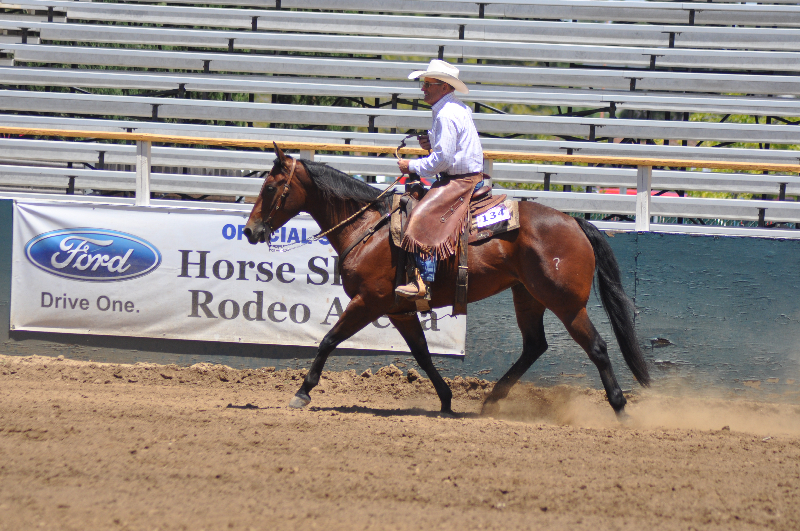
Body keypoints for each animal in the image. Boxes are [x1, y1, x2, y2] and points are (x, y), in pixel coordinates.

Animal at [244, 145, 650, 417]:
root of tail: (576, 223)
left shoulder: (368, 302)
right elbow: (422, 354)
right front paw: (446, 399)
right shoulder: (400, 310)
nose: (250, 231)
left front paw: (302, 392)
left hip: (566, 303)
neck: (368, 229)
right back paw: (491, 400)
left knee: (597, 347)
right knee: (535, 346)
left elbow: (328, 340)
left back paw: (620, 409)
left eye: (269, 188)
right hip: (527, 295)